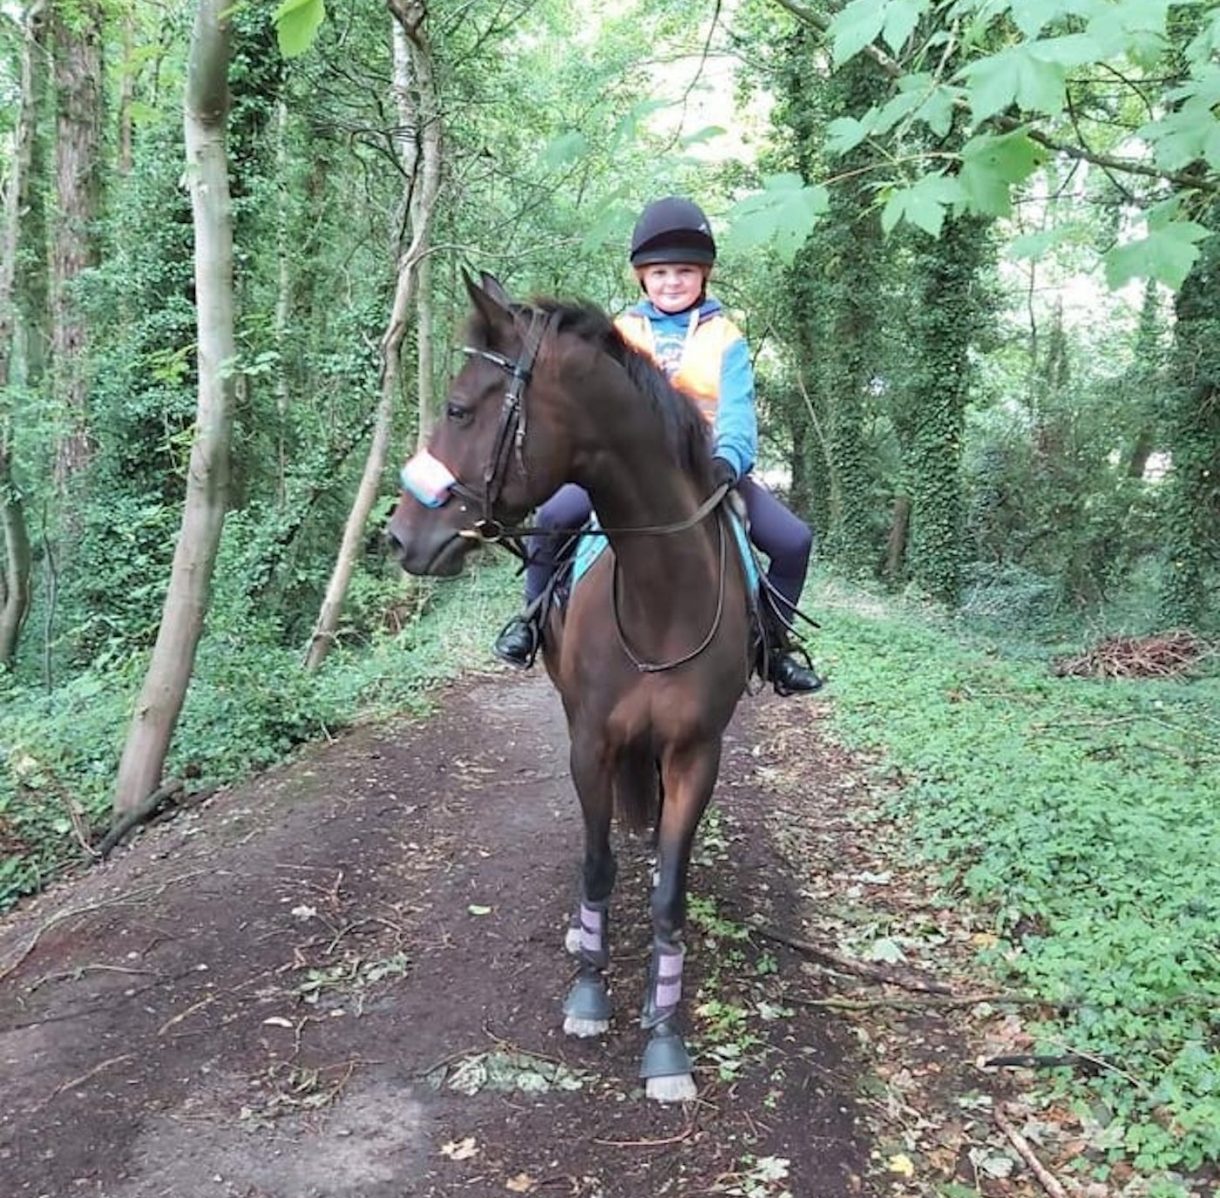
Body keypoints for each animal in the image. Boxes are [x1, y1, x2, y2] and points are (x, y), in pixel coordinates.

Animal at [385, 273, 753, 1102]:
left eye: (459, 409)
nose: (397, 537)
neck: (660, 600)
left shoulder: (696, 754)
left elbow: (669, 892)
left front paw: (665, 1037)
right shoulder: (590, 741)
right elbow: (595, 862)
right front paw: (589, 991)